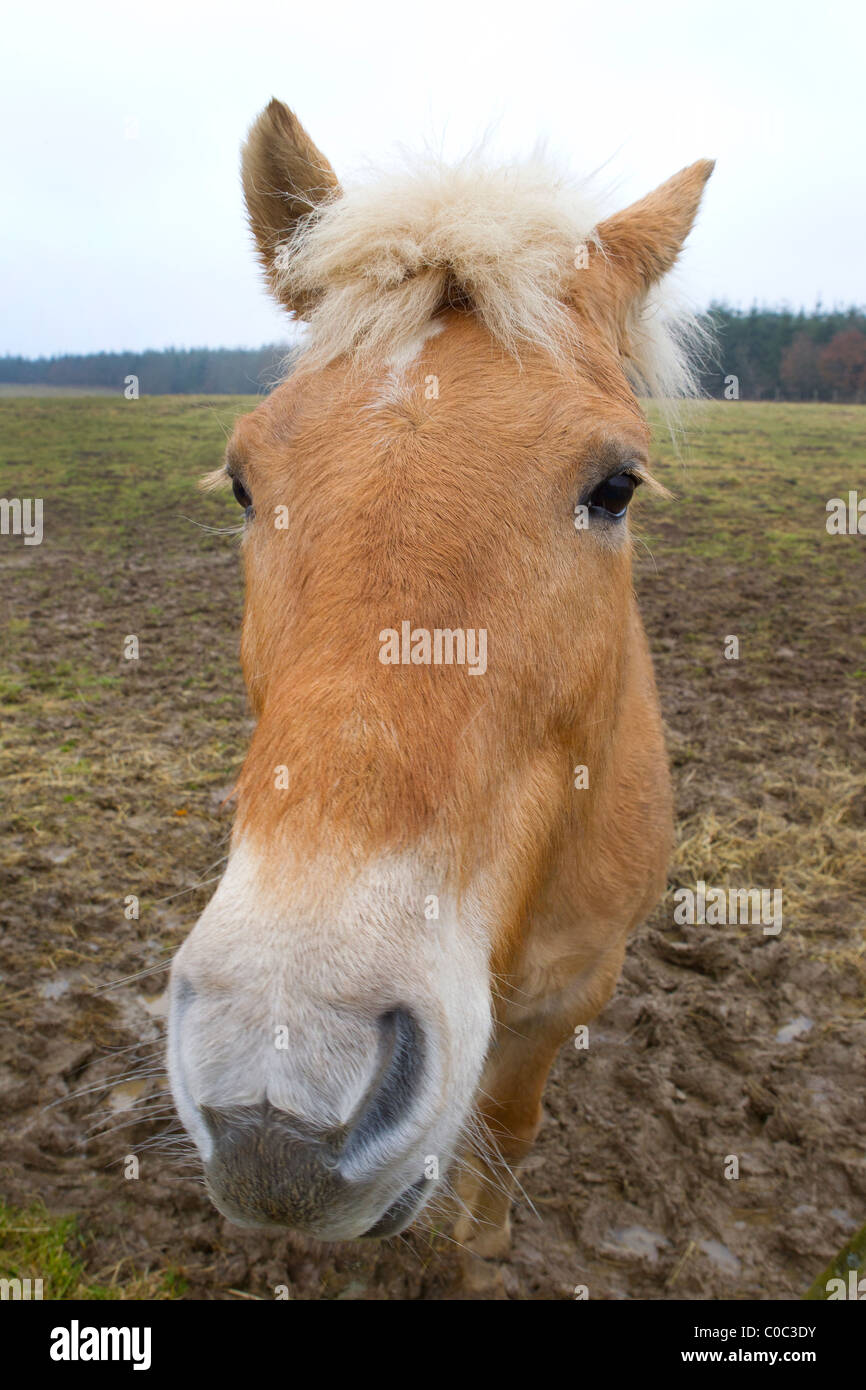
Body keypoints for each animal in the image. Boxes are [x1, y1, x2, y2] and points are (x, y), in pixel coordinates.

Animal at [167, 98, 713, 1260]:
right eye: (242, 483)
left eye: (615, 487)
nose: (280, 1085)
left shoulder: (574, 988)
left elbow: (507, 1121)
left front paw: (480, 1243)